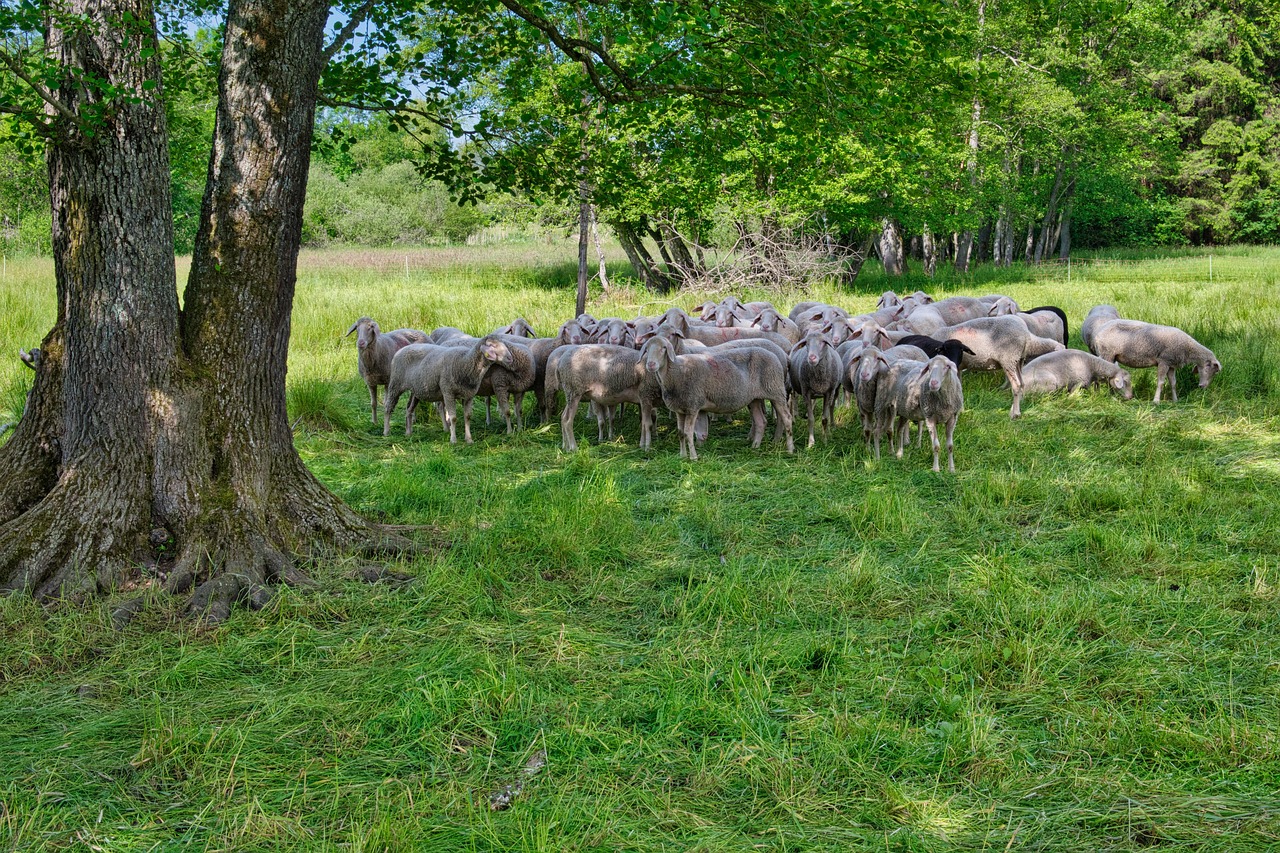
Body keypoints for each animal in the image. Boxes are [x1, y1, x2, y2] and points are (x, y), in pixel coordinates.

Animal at [382, 335, 513, 443]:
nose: (510, 358)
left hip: (416, 390)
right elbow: (453, 418)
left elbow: (467, 417)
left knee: (409, 409)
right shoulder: (448, 392)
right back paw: (386, 431)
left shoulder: (469, 395)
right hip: (395, 384)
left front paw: (469, 439)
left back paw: (408, 433)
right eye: (492, 346)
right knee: (388, 407)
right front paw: (453, 440)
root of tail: (400, 350)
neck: (464, 363)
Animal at [639, 336, 794, 460]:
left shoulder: (693, 406)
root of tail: (779, 355)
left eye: (664, 348)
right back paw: (755, 447)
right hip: (755, 399)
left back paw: (790, 449)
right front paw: (682, 456)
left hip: (776, 390)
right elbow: (681, 433)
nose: (650, 365)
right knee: (761, 421)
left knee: (787, 418)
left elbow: (688, 433)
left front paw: (693, 457)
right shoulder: (679, 409)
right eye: (646, 349)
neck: (677, 373)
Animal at [931, 316, 1065, 419]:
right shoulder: (958, 368)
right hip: (1017, 361)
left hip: (1009, 359)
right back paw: (1016, 410)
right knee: (1021, 384)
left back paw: (1015, 414)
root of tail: (1026, 336)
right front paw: (961, 410)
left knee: (1016, 386)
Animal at [1090, 319, 1221, 402]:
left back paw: (1100, 394)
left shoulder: (1171, 364)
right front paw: (1156, 401)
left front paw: (1175, 400)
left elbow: (1173, 383)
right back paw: (1109, 396)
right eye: (1211, 370)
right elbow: (1161, 382)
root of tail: (1097, 332)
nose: (1202, 386)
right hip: (1107, 353)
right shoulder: (1163, 361)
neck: (1187, 348)